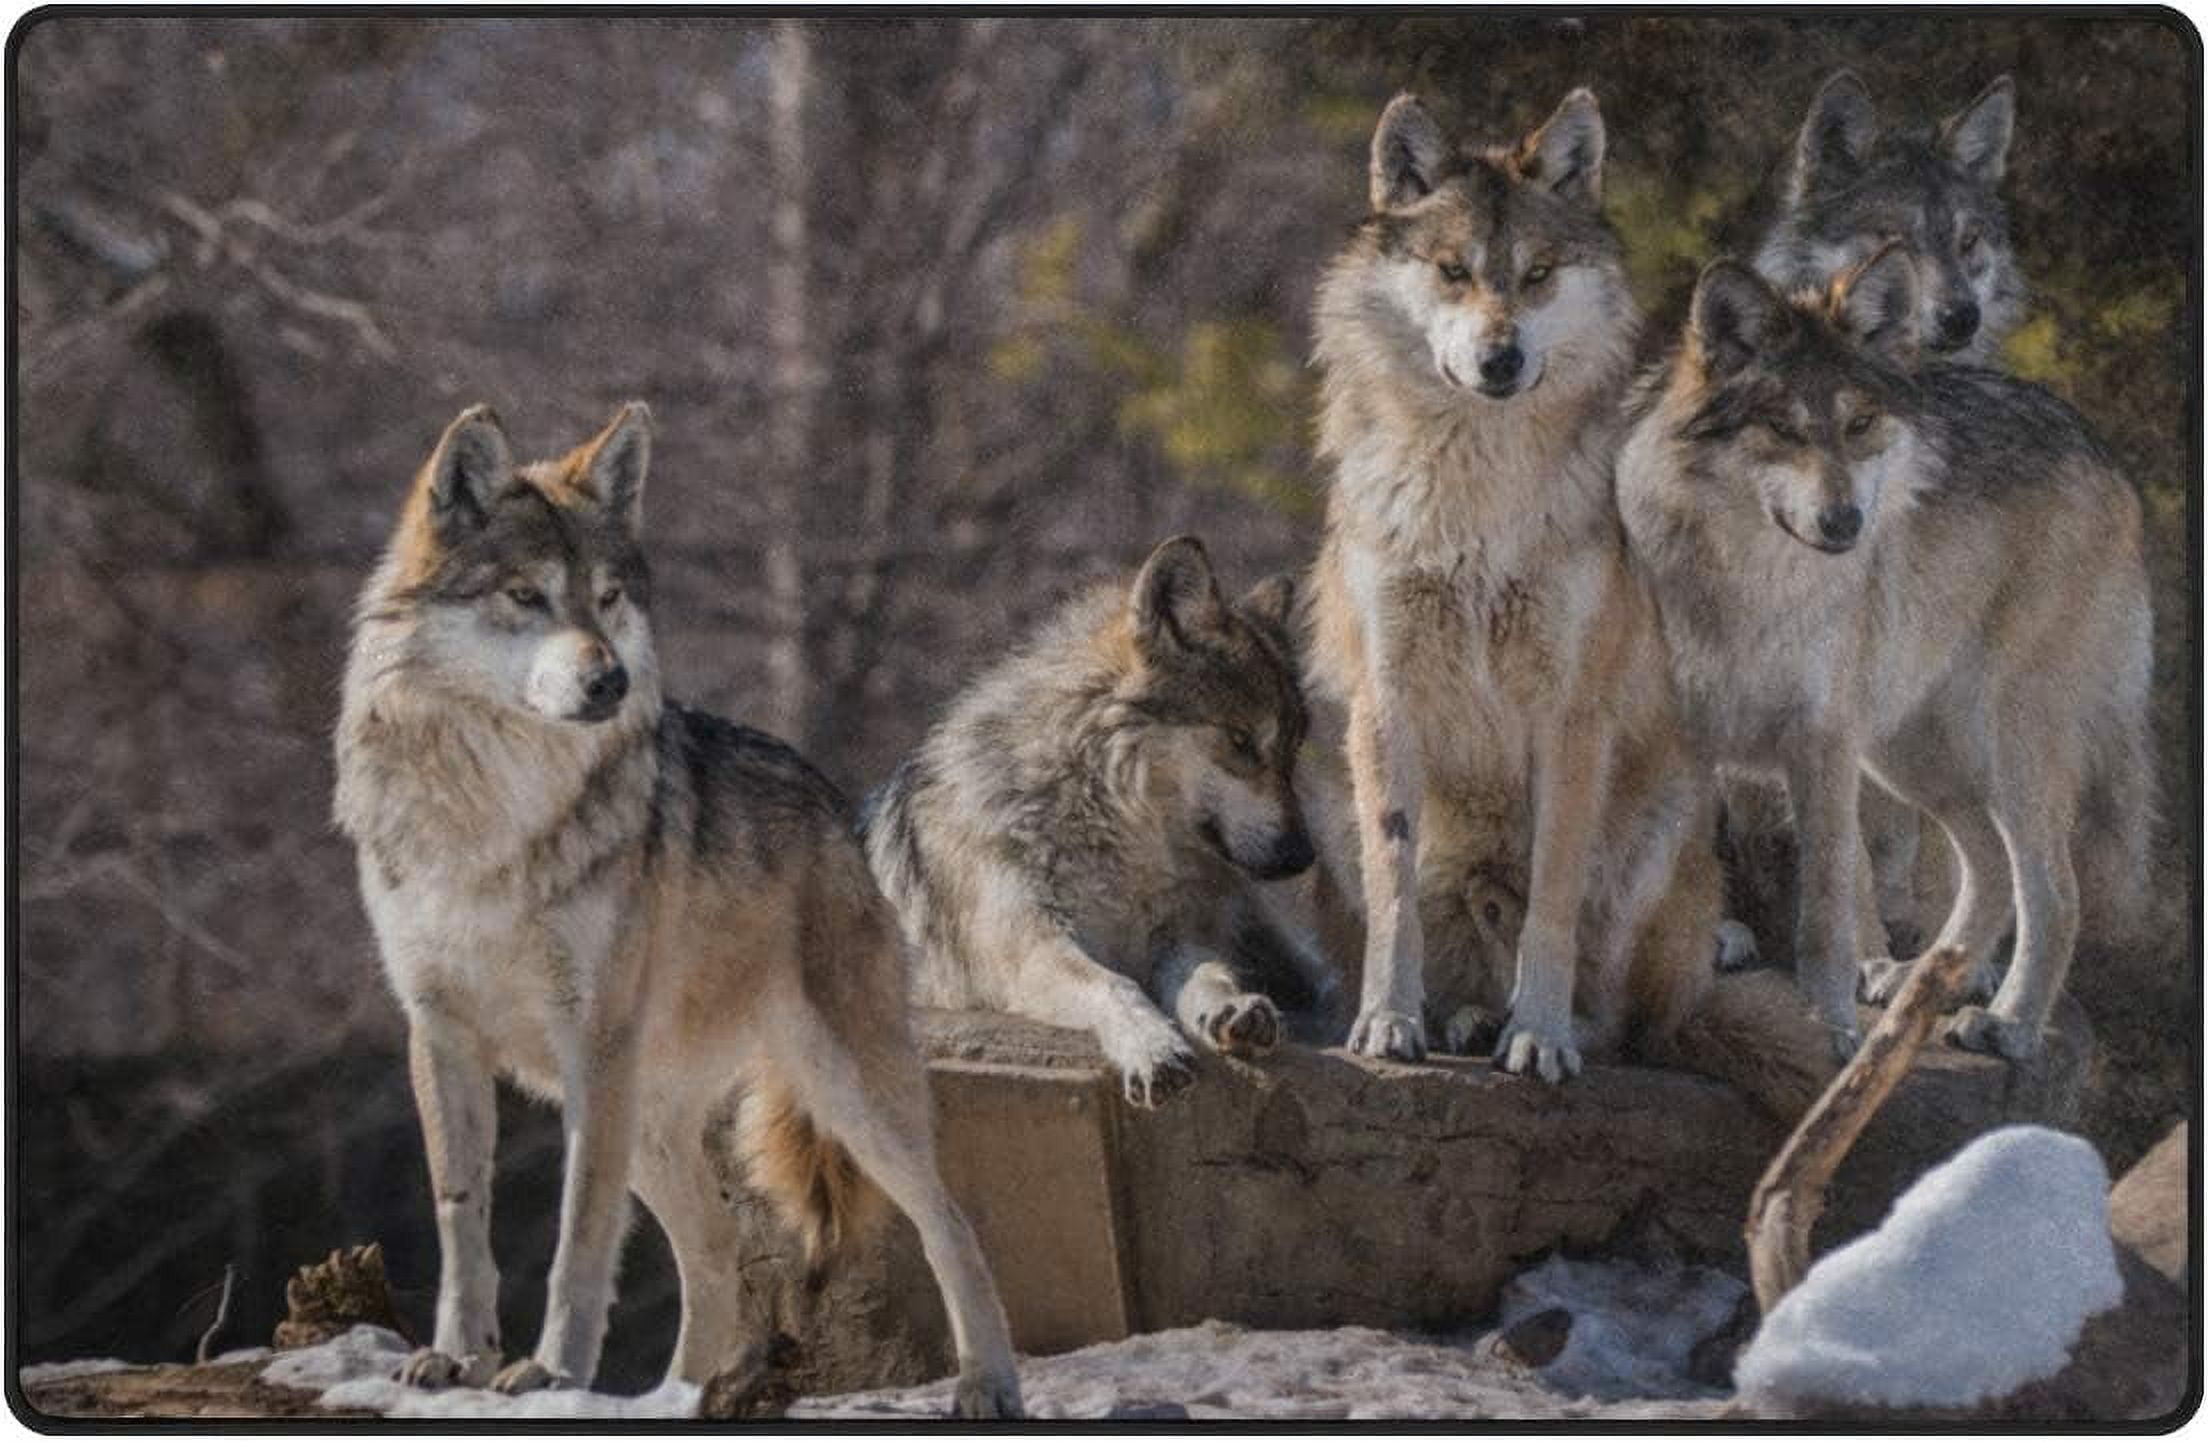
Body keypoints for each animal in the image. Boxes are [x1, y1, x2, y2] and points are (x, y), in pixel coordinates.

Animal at [333, 403, 1020, 1414]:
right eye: (526, 596)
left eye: (609, 597)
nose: (609, 681)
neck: (495, 816)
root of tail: (836, 799)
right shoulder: (441, 1034)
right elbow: (462, 1221)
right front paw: (455, 1360)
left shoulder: (592, 1045)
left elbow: (579, 1235)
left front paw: (552, 1373)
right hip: (653, 1122)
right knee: (715, 1246)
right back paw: (680, 1395)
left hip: (841, 1094)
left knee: (950, 1222)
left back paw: (987, 1381)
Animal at [863, 536, 1338, 1108]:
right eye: (1241, 740)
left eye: (1293, 749)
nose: (1302, 856)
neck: (1118, 833)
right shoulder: (1033, 949)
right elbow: (1112, 983)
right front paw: (1154, 1047)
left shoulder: (1176, 940)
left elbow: (1211, 974)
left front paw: (1232, 1009)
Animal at [1302, 88, 1838, 1098]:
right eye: (1454, 272)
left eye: (1539, 275)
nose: (1500, 360)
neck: (1474, 504)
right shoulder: (1386, 704)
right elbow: (1397, 900)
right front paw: (1388, 1023)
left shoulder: (1570, 718)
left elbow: (1550, 903)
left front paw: (1540, 1037)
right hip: (1331, 802)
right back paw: (1460, 1018)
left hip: (1665, 822)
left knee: (1631, 1023)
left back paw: (1554, 1028)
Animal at [1615, 247, 2154, 1060]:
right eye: (1783, 428)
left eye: (1860, 424)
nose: (1845, 523)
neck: (1753, 588)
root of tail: (2094, 441)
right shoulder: (1684, 742)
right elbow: (1673, 873)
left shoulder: (1823, 747)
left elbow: (1825, 912)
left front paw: (1831, 1031)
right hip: (1910, 754)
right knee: (1988, 865)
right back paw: (1923, 979)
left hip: (2002, 745)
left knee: (2055, 891)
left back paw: (2008, 1023)